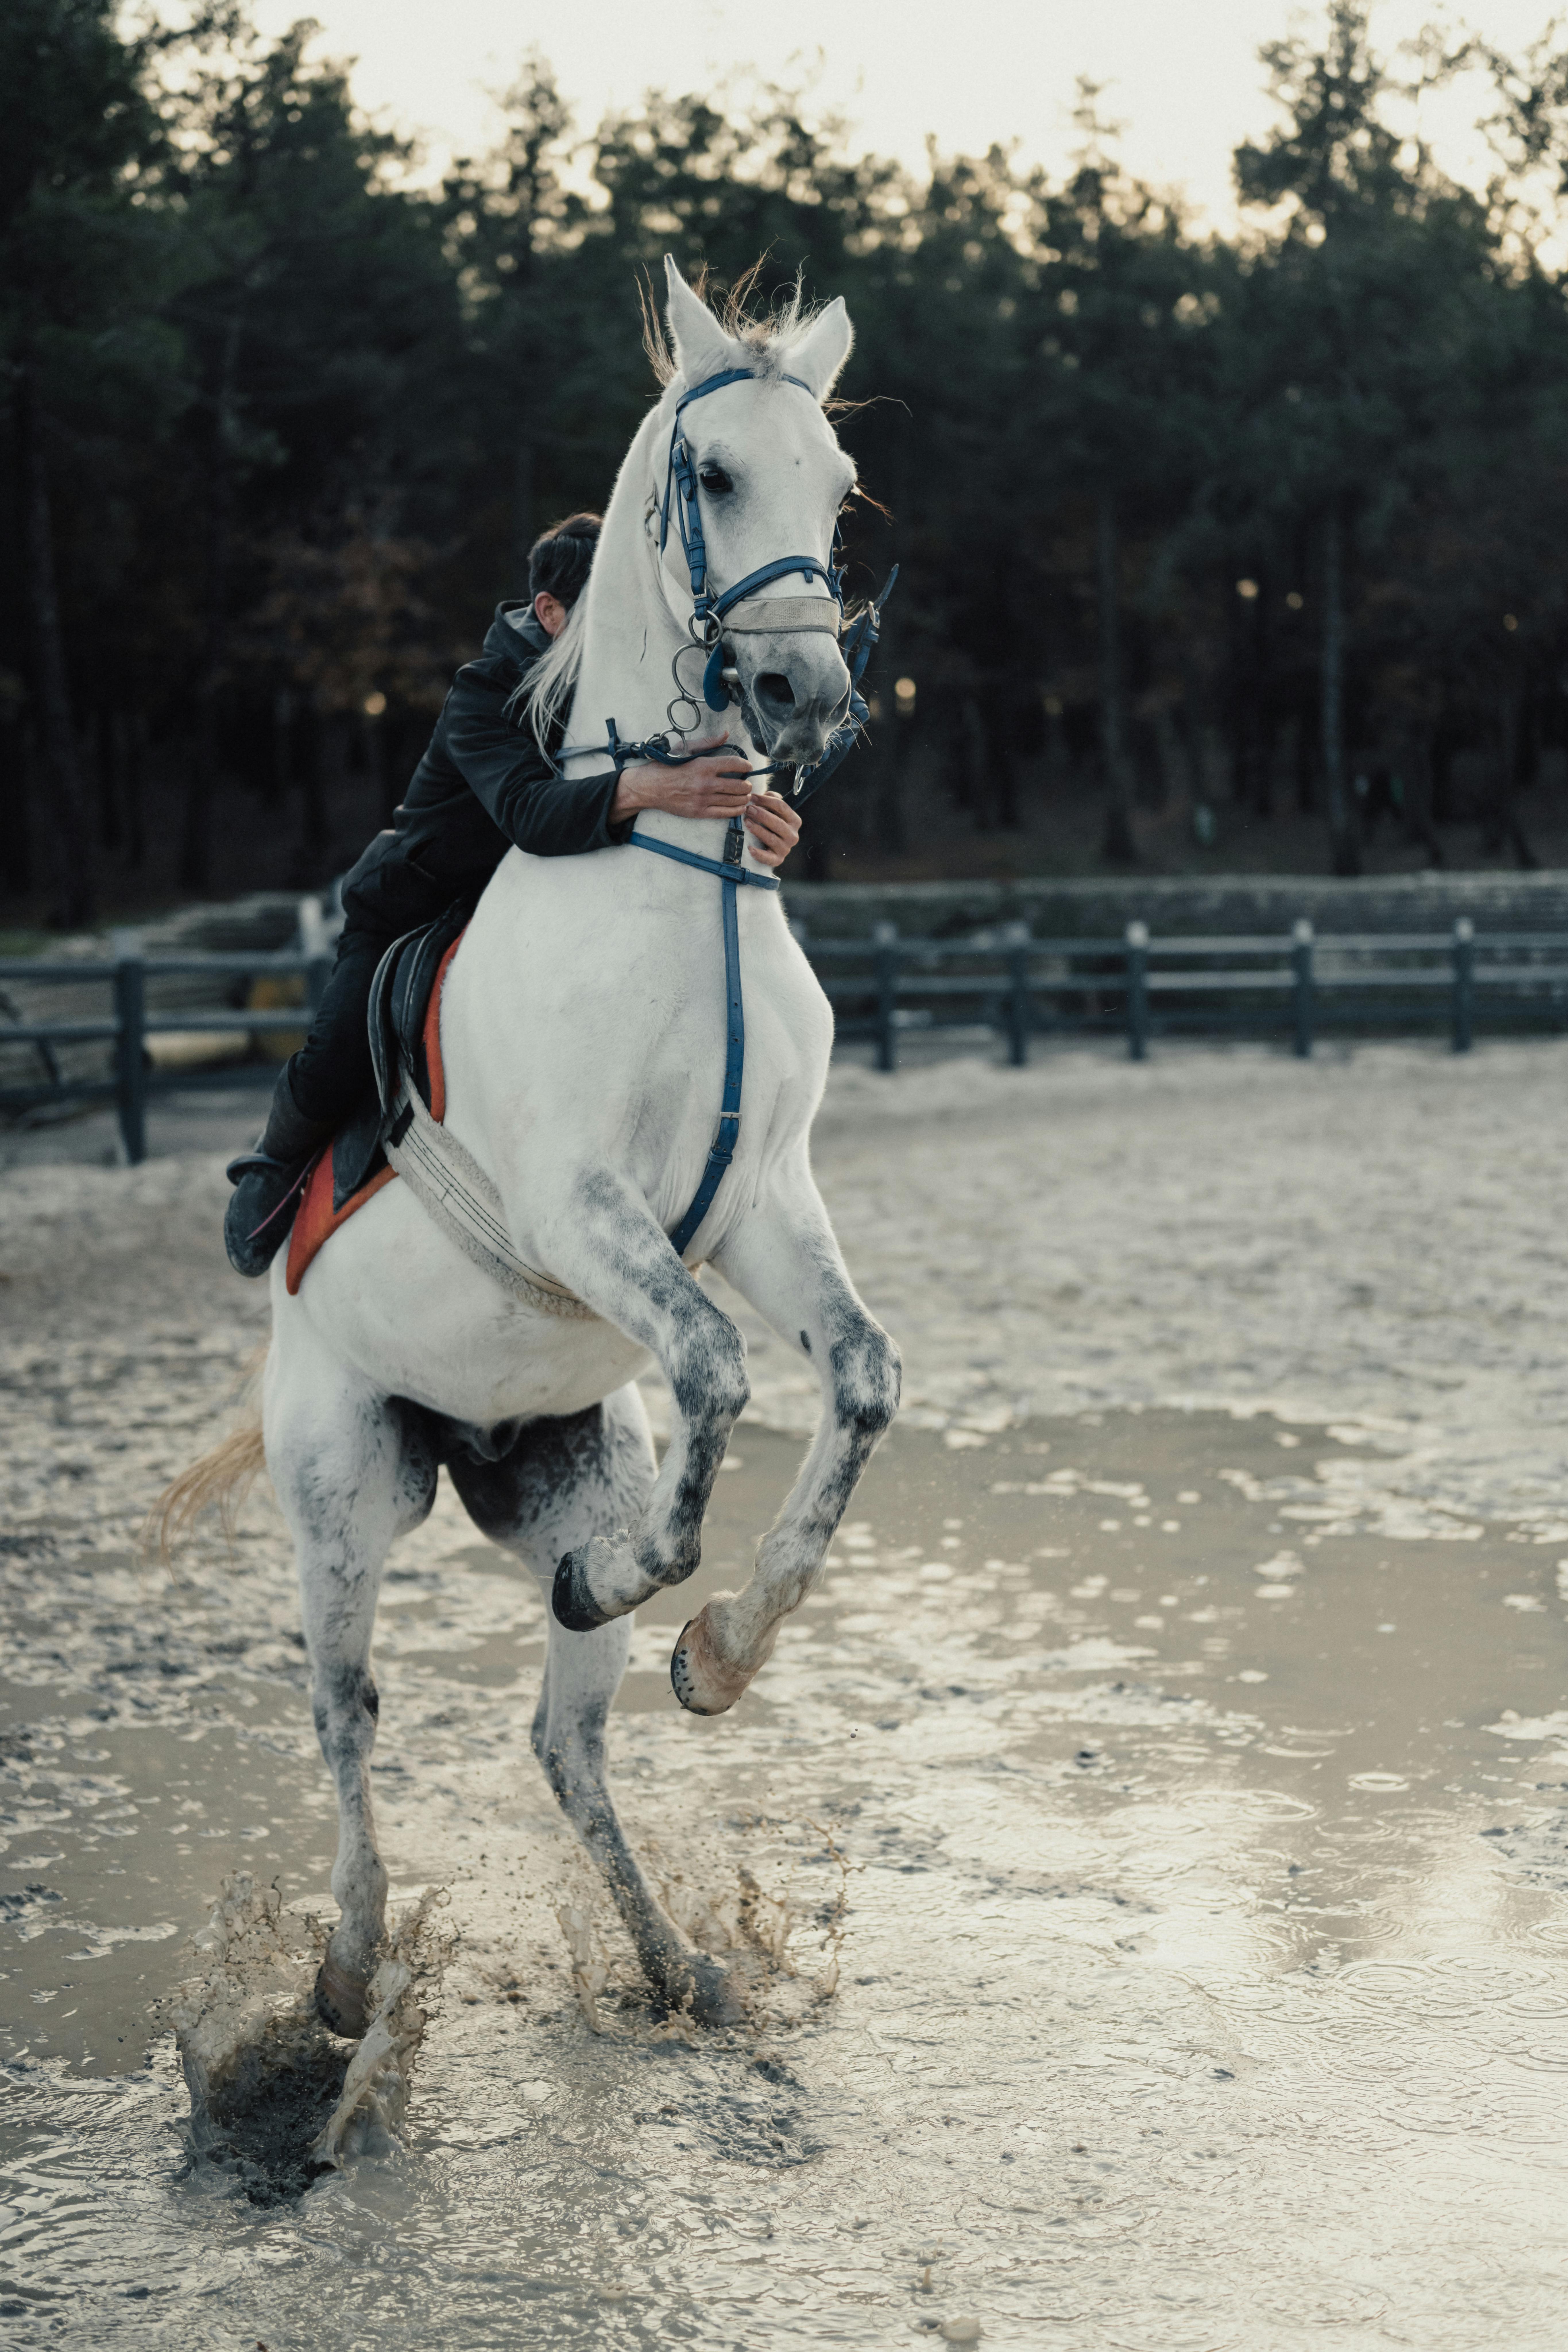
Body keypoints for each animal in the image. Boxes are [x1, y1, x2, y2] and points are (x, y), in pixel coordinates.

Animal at [182, 260, 901, 2037]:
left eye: (839, 489)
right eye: (712, 474)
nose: (808, 698)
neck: (682, 872)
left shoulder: (766, 1203)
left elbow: (857, 1378)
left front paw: (717, 1648)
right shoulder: (582, 1209)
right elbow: (717, 1367)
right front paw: (657, 1584)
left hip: (560, 1464)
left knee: (563, 1740)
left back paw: (675, 1958)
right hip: (341, 1501)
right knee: (349, 1714)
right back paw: (347, 1976)